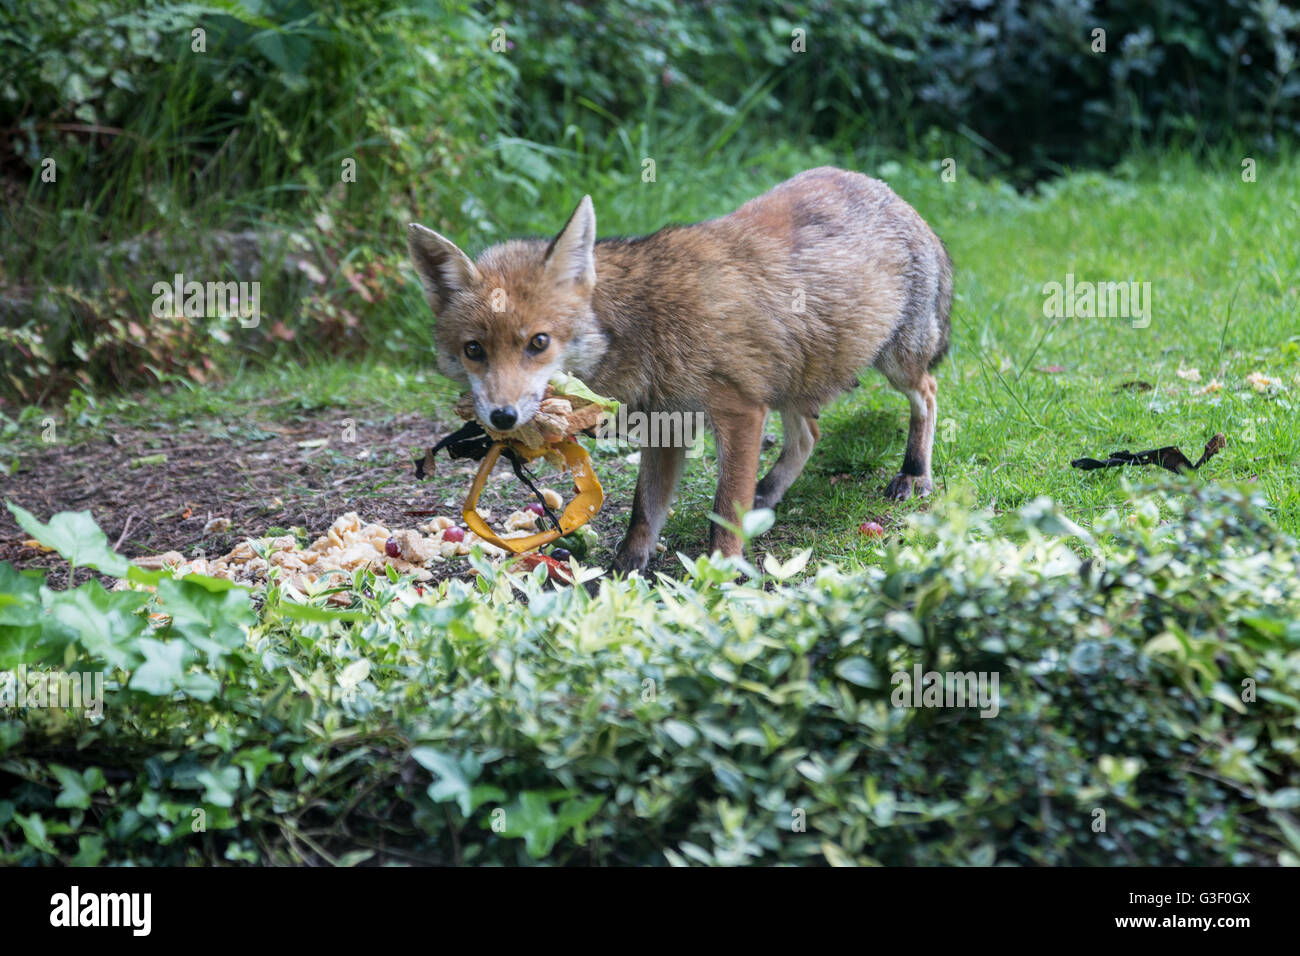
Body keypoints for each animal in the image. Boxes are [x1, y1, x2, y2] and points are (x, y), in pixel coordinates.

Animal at [407, 166, 952, 573]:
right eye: (474, 350)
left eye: (538, 343)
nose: (501, 418)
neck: (644, 322)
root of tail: (889, 191)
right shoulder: (667, 422)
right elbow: (644, 511)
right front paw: (625, 567)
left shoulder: (739, 410)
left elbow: (724, 507)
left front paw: (722, 570)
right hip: (790, 375)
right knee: (808, 436)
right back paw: (768, 493)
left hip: (895, 361)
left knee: (927, 392)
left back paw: (913, 473)